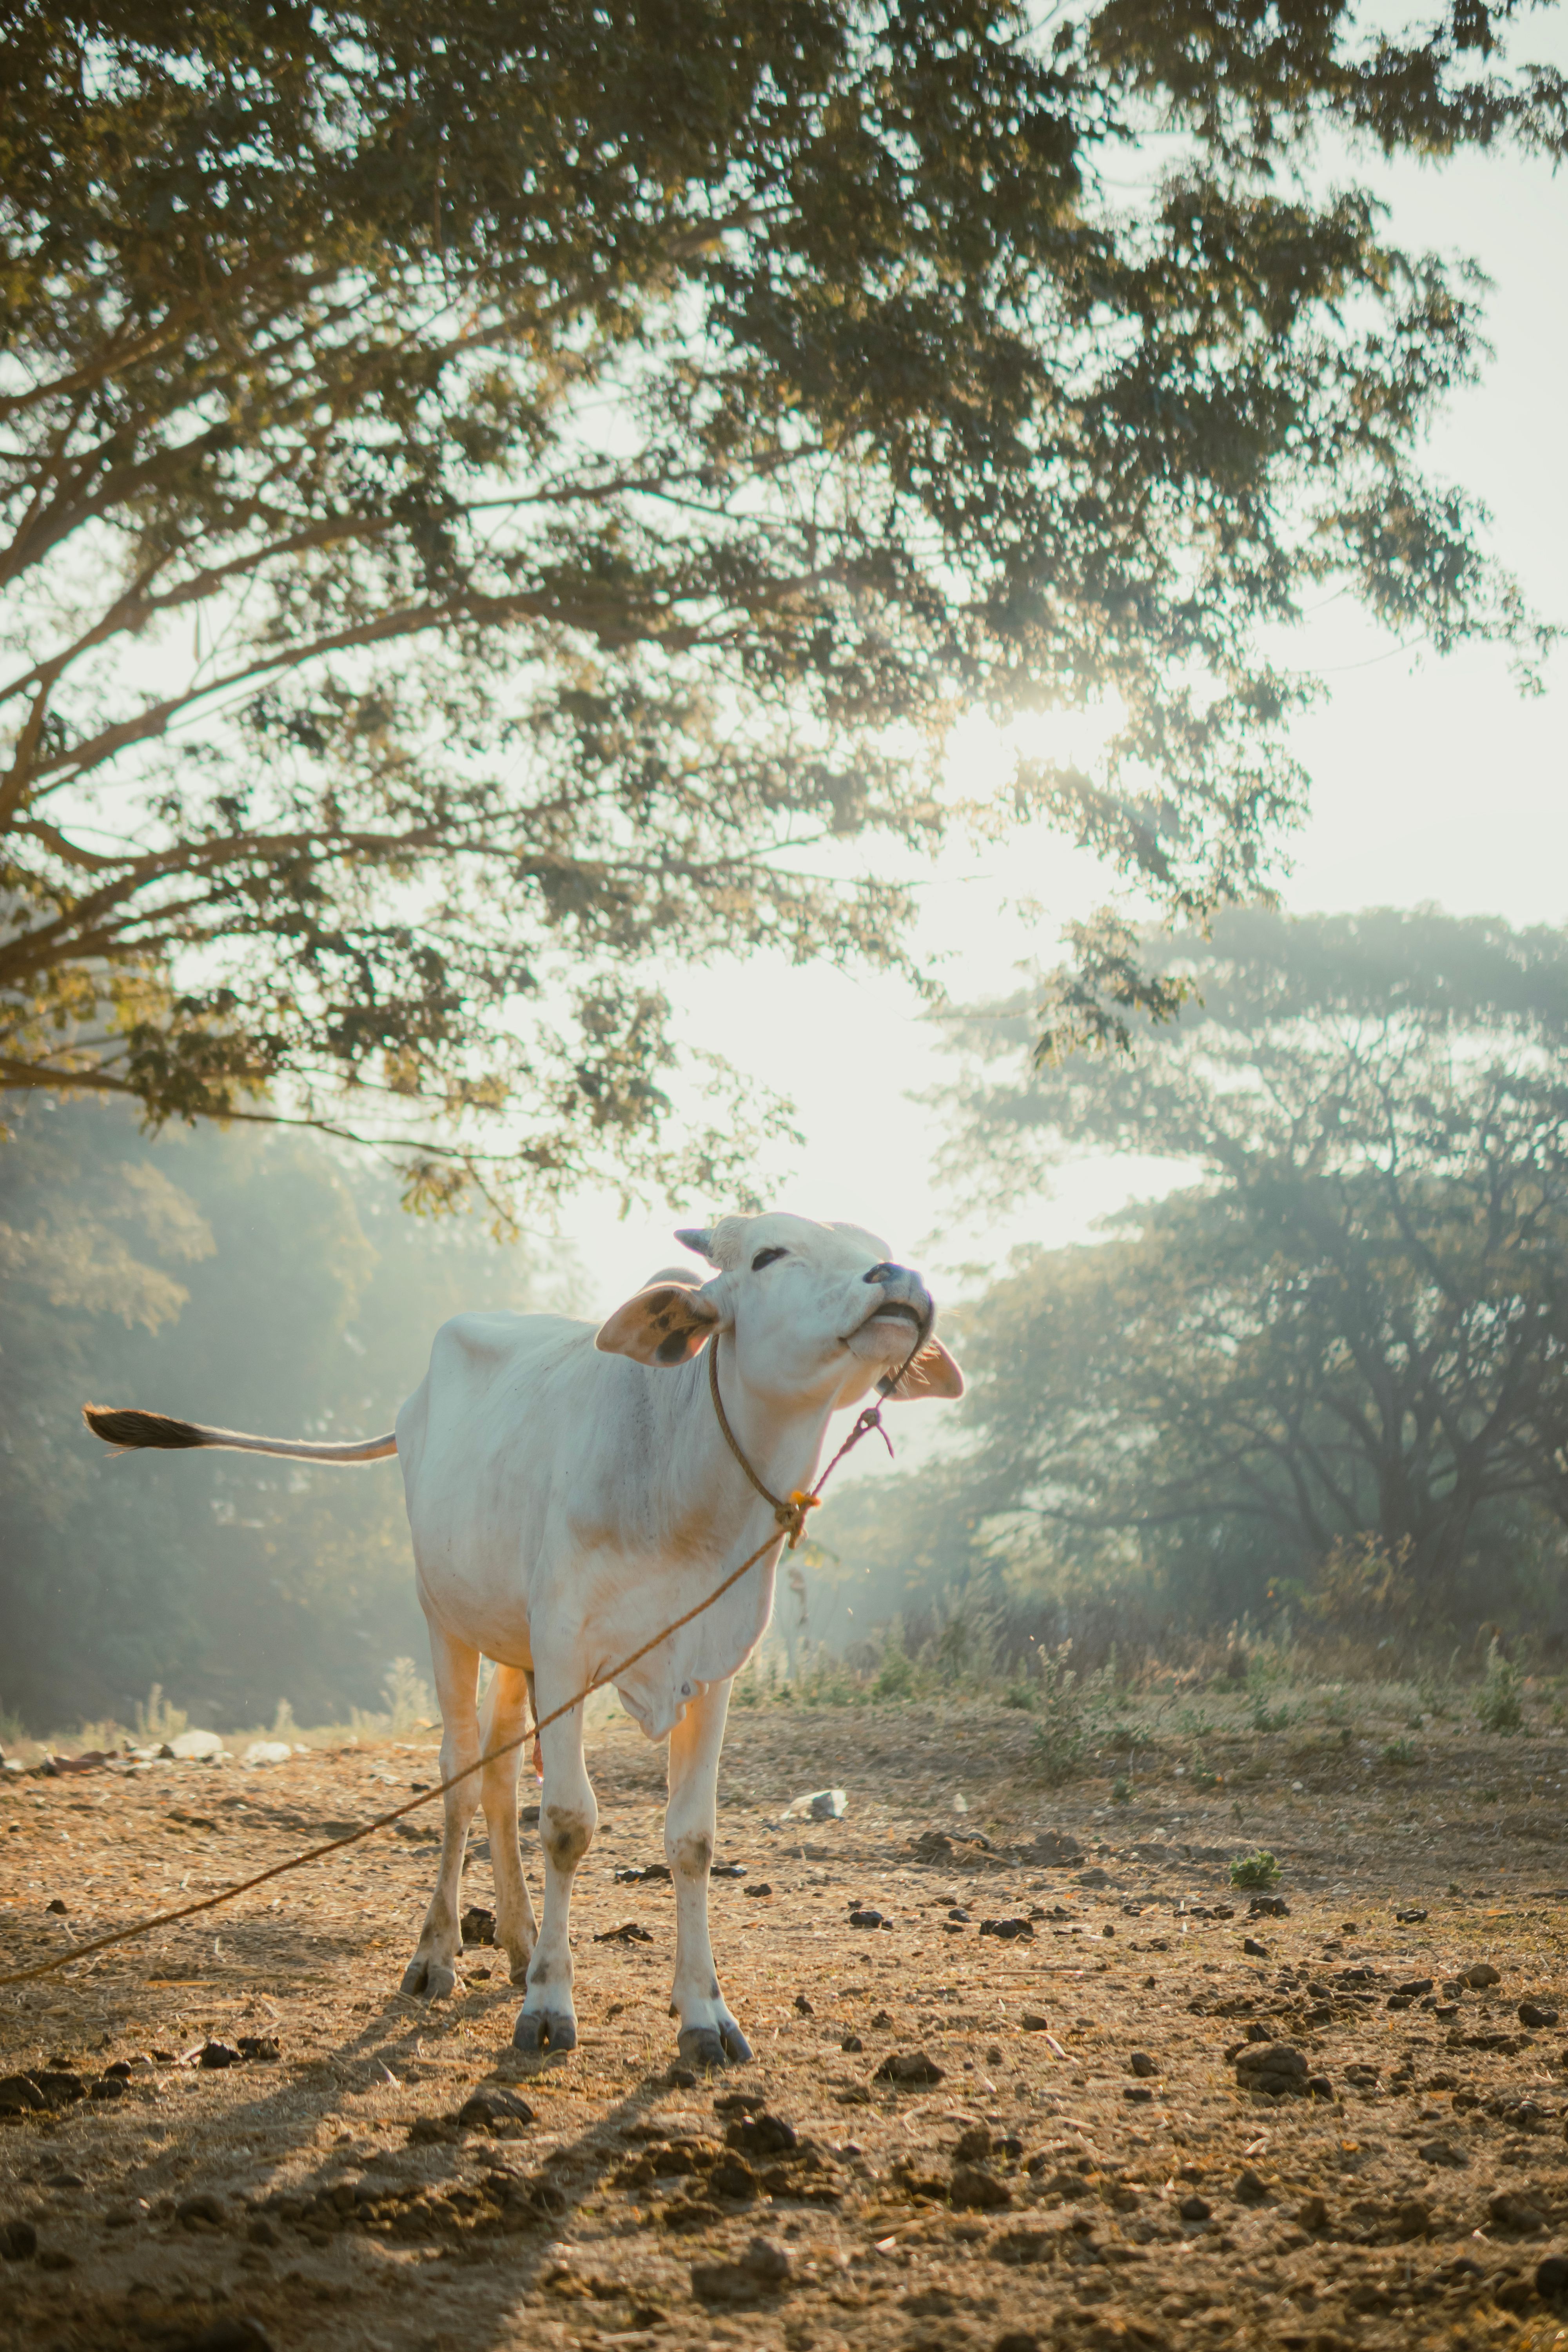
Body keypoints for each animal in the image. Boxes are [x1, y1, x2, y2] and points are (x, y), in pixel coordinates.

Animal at [84, 1211, 963, 2066]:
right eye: (770, 1253)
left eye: (876, 1246)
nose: (902, 1279)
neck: (685, 1482)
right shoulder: (567, 1652)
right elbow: (569, 1823)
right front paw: (549, 2004)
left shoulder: (711, 1667)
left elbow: (692, 1839)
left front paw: (702, 2013)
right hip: (445, 1620)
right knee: (461, 1776)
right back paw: (437, 1955)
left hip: (515, 1647)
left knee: (503, 1774)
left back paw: (513, 1940)